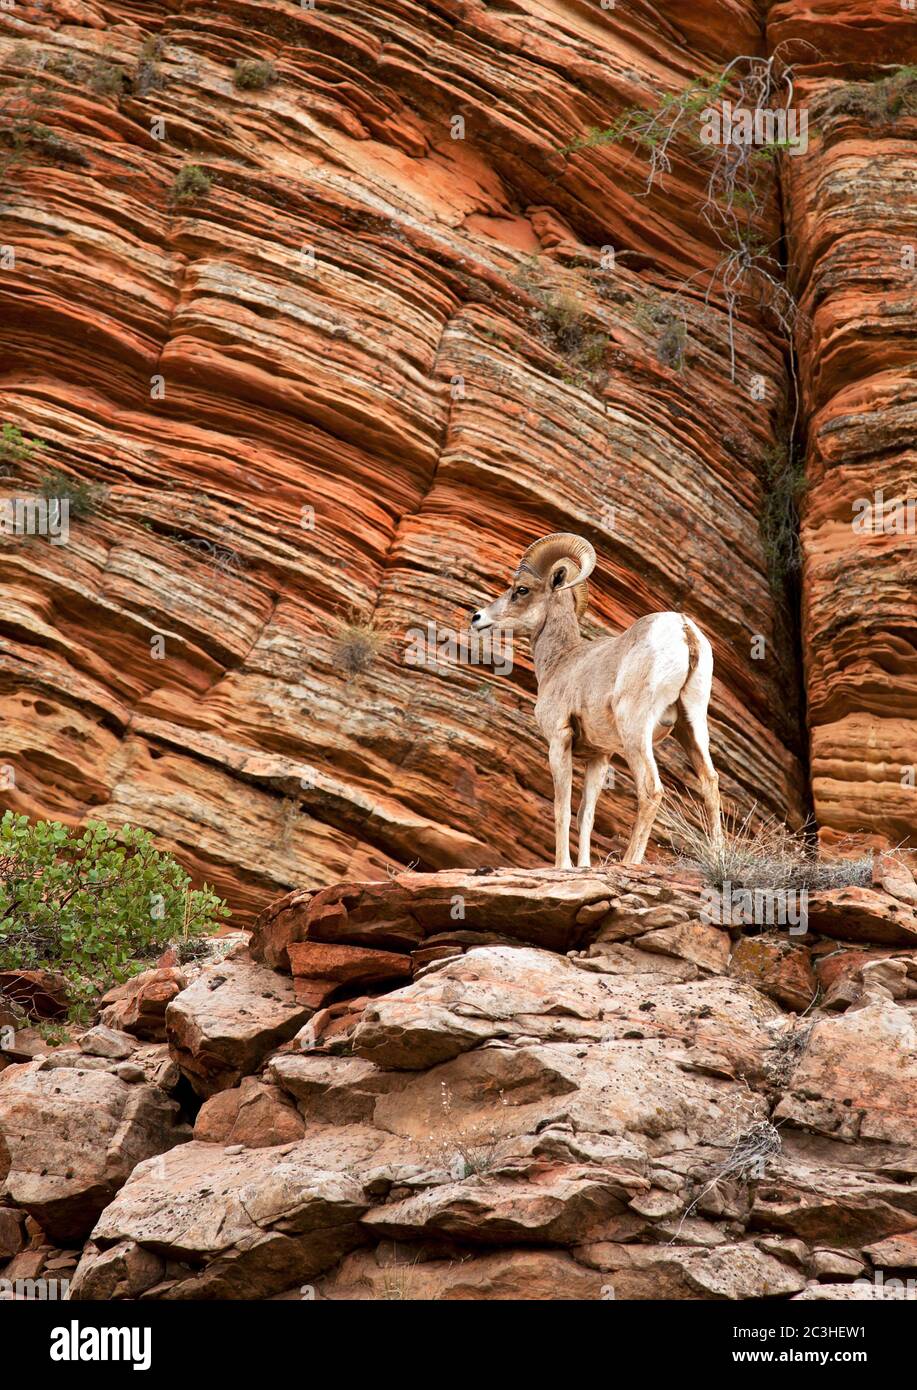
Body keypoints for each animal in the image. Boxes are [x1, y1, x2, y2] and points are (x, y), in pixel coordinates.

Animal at [470, 532, 722, 869]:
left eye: (521, 590)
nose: (477, 617)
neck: (560, 661)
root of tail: (684, 630)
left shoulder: (559, 741)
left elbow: (562, 808)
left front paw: (562, 866)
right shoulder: (600, 756)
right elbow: (585, 815)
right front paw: (584, 867)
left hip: (635, 730)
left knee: (651, 789)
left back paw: (630, 861)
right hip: (691, 724)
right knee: (709, 782)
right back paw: (719, 857)